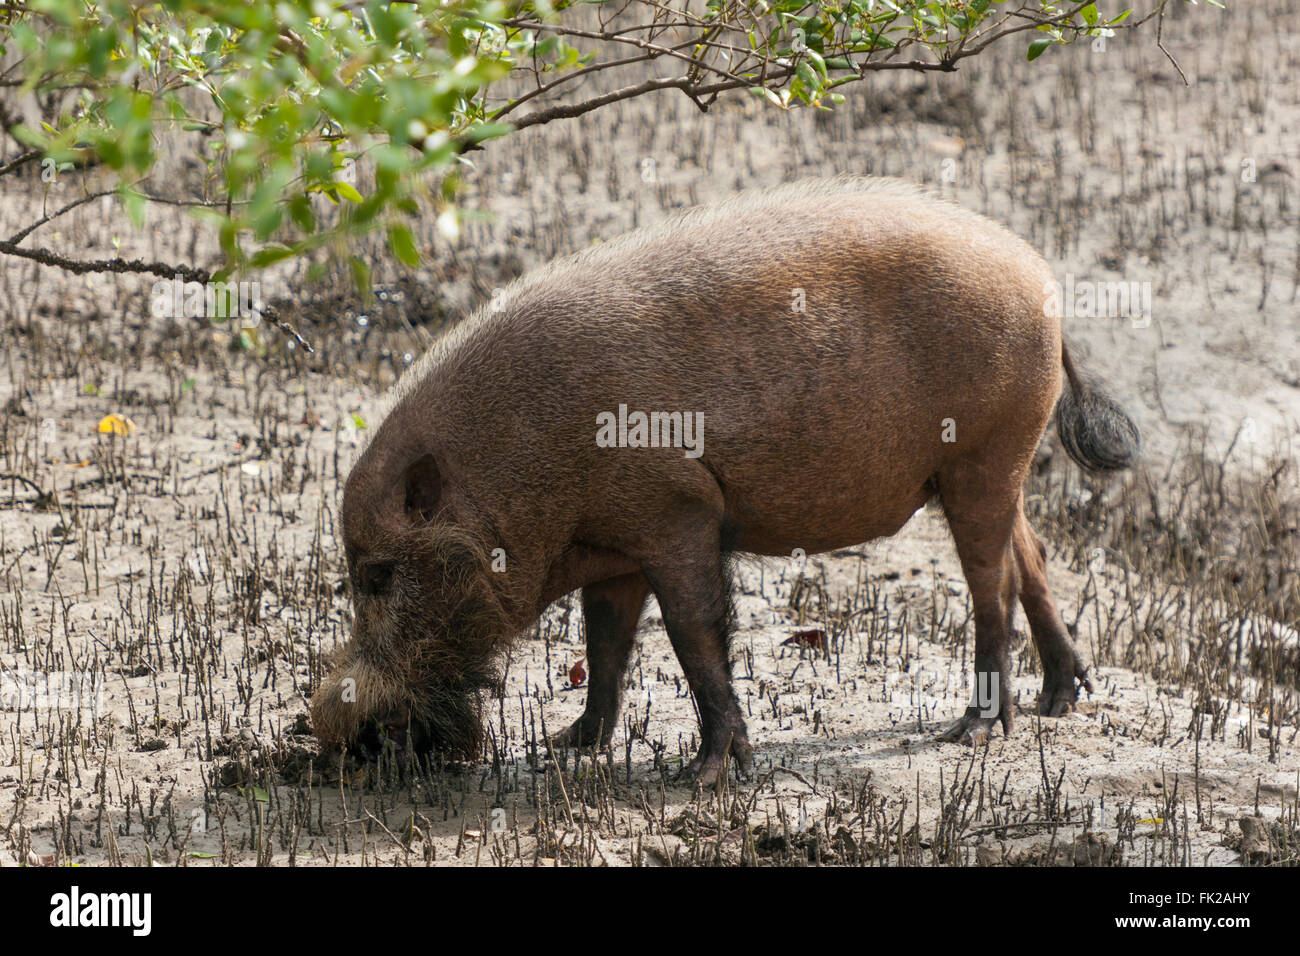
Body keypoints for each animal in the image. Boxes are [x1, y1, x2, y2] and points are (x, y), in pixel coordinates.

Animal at [310, 177, 1140, 786]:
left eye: (378, 575)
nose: (334, 733)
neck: (521, 466)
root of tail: (1042, 278)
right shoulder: (614, 549)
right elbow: (604, 645)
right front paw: (566, 745)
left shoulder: (676, 512)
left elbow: (693, 634)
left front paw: (702, 777)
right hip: (988, 466)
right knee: (1032, 558)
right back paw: (1060, 701)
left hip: (984, 455)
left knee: (992, 584)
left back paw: (973, 731)